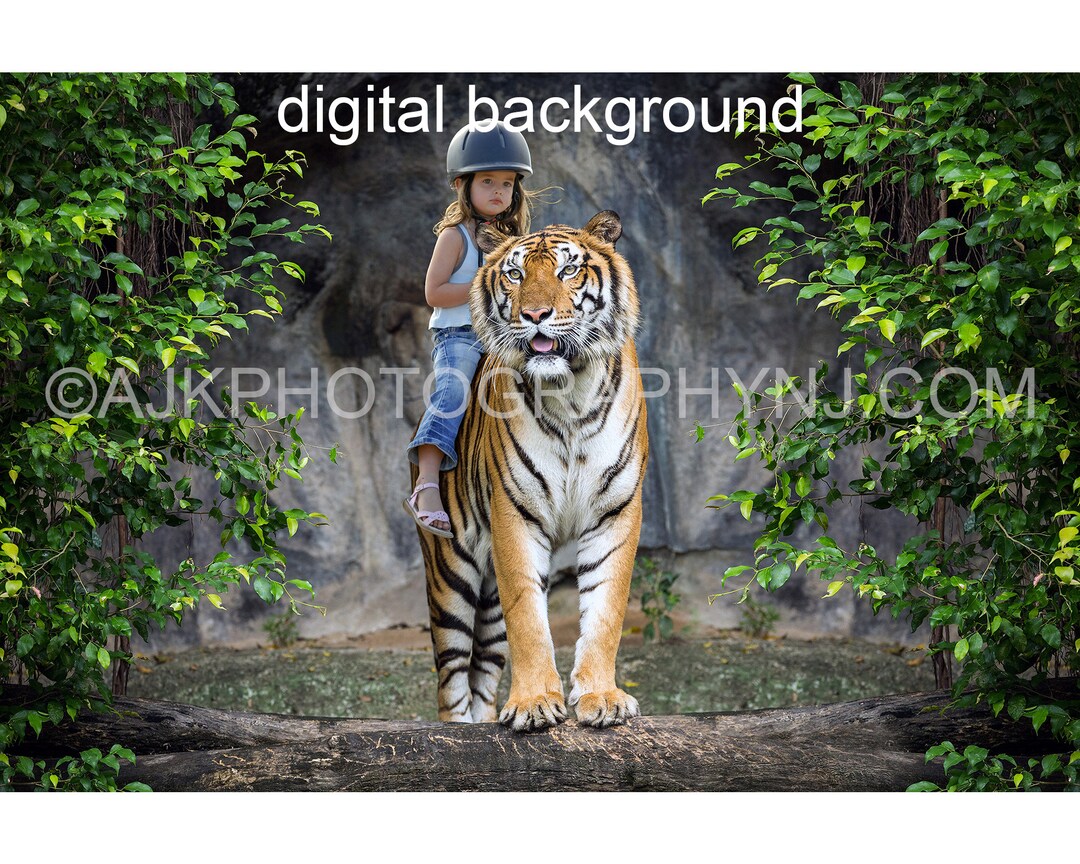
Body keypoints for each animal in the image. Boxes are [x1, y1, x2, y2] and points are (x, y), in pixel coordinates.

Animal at [410, 209, 648, 732]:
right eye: (515, 274)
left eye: (568, 271)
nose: (535, 315)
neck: (571, 394)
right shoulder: (514, 514)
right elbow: (529, 619)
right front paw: (536, 703)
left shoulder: (615, 511)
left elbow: (605, 611)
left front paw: (601, 698)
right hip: (450, 575)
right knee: (451, 680)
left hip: (488, 604)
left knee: (482, 674)